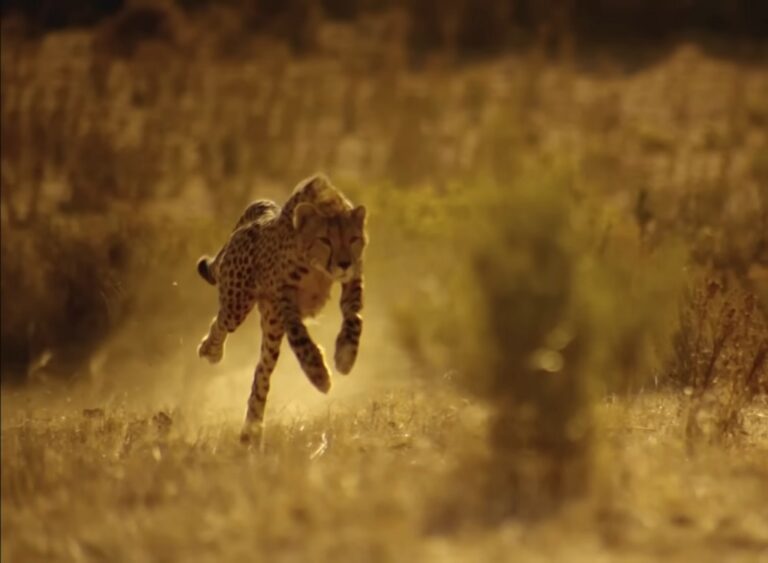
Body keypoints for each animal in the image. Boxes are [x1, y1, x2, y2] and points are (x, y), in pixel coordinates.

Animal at [196, 174, 368, 443]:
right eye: (325, 240)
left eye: (353, 239)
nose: (343, 263)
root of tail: (259, 210)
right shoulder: (281, 295)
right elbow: (299, 335)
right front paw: (318, 374)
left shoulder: (354, 278)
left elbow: (354, 317)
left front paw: (346, 355)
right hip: (240, 303)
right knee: (222, 322)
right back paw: (211, 351)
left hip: (269, 327)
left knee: (261, 371)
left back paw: (252, 427)